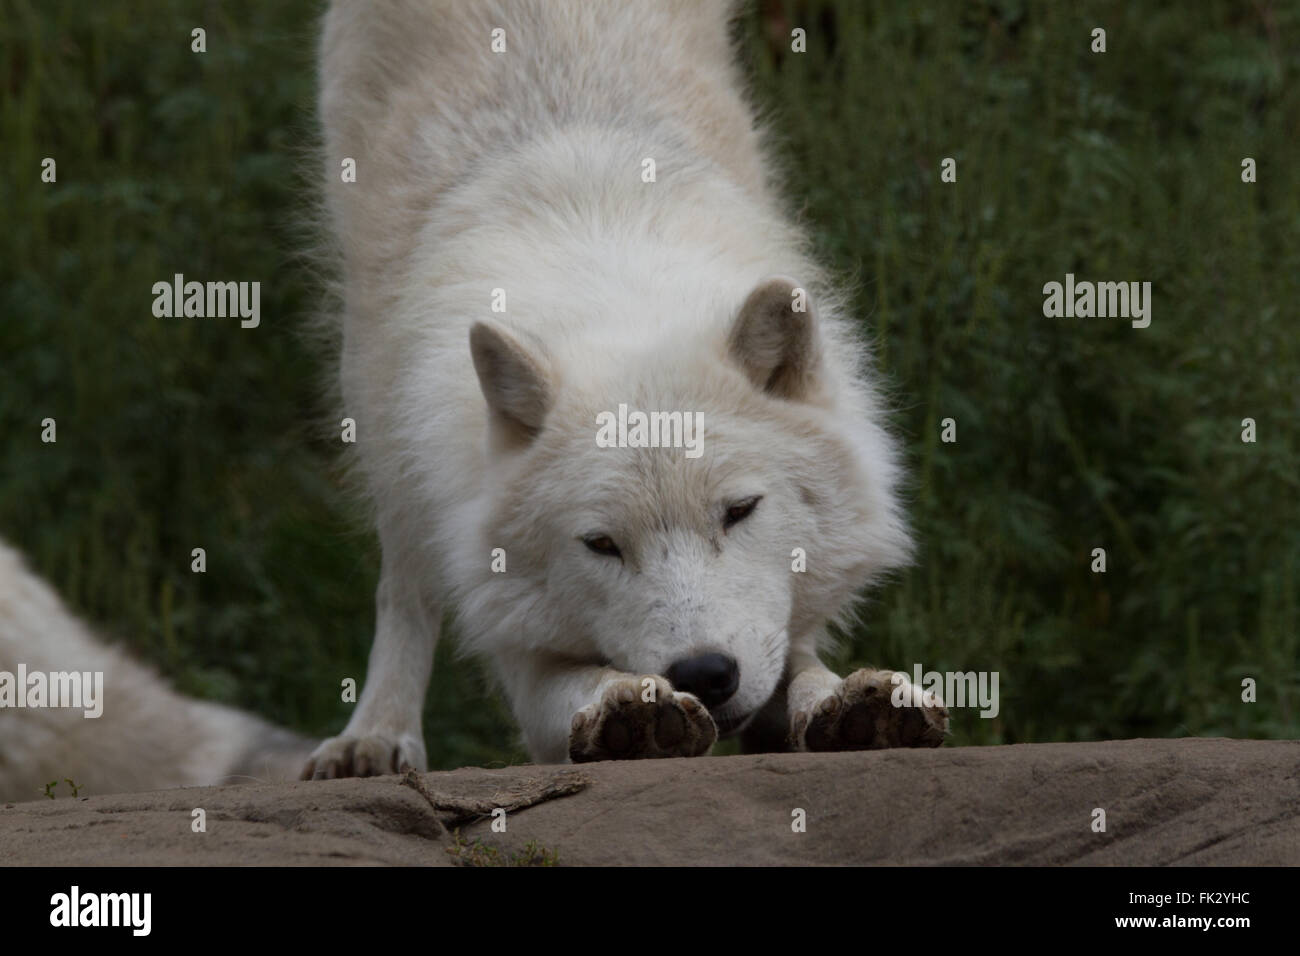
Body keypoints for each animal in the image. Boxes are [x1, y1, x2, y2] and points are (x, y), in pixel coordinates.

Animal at [306, 0, 948, 777]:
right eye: (602, 545)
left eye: (739, 512)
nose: (705, 673)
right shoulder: (515, 635)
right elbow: (572, 686)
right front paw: (630, 713)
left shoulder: (774, 629)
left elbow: (802, 667)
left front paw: (853, 704)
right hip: (375, 401)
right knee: (403, 585)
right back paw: (375, 735)